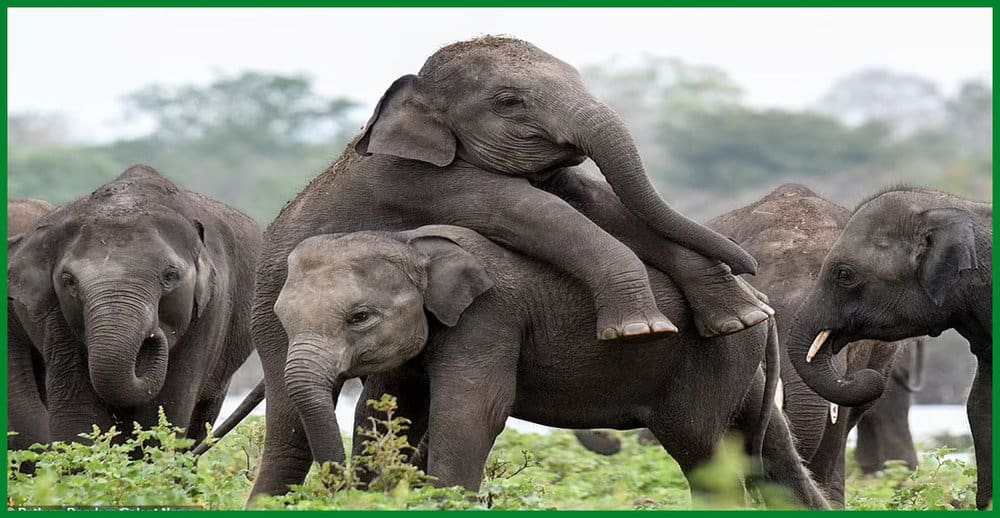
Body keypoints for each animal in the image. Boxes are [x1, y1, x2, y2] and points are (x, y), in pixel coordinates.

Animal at [7, 165, 262, 450]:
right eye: (68, 280)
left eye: (170, 276)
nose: (154, 333)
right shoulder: (57, 315)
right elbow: (79, 415)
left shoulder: (211, 310)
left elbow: (165, 411)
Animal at [250, 35, 771, 497]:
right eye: (508, 101)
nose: (748, 263)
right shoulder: (421, 180)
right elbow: (544, 215)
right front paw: (640, 328)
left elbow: (599, 204)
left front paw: (741, 315)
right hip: (272, 328)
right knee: (291, 427)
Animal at [263, 224, 830, 509]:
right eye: (280, 317)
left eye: (360, 317)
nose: (336, 487)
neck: (412, 243)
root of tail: (759, 301)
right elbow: (385, 414)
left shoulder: (490, 317)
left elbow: (472, 413)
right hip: (745, 370)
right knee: (771, 450)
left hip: (713, 358)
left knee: (700, 449)